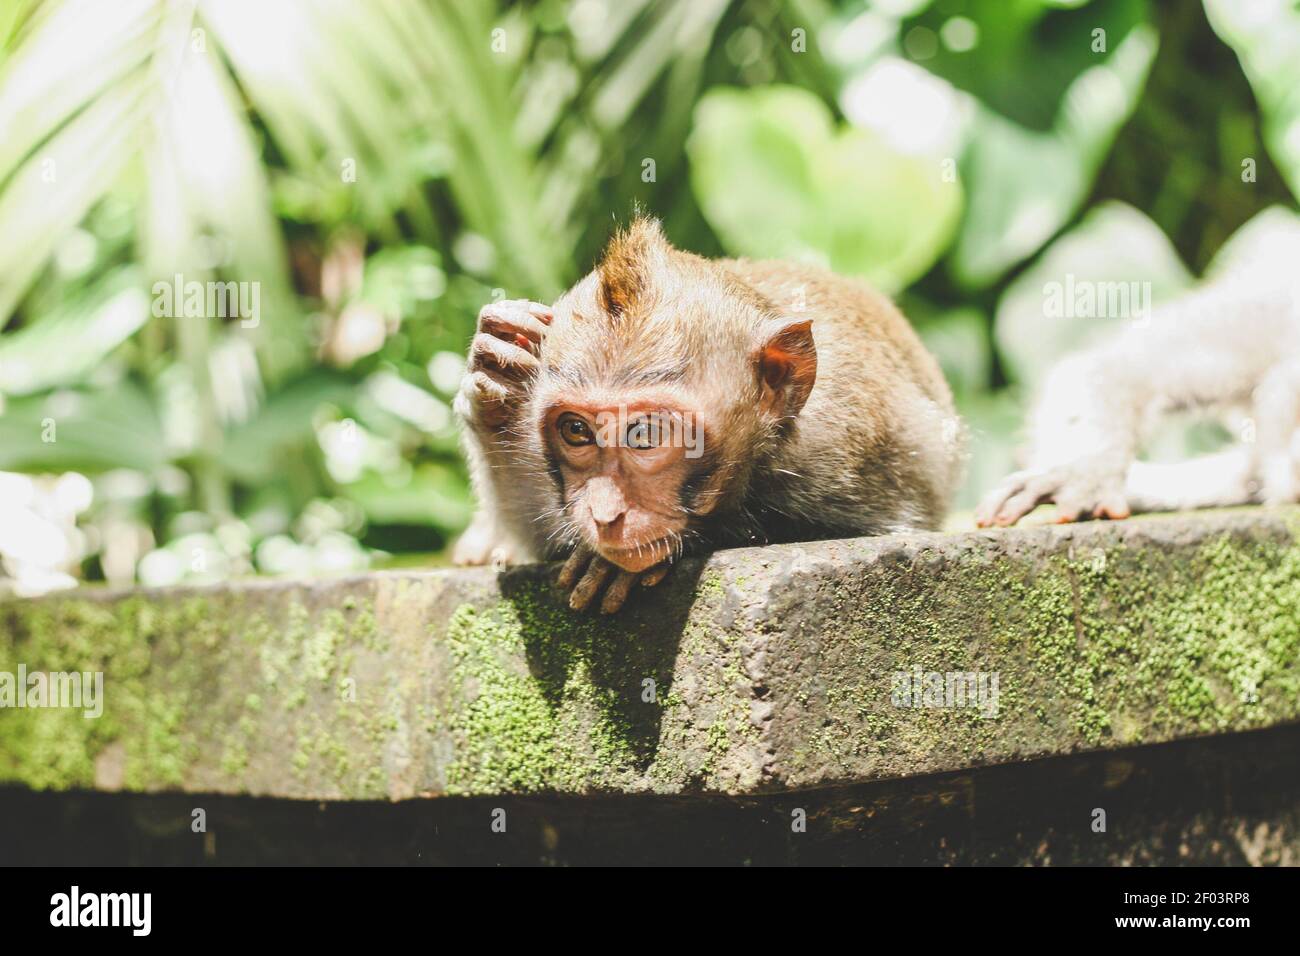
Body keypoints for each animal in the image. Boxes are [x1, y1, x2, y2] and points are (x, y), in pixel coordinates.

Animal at [453, 217, 963, 612]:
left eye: (645, 435)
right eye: (576, 430)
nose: (604, 513)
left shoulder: (851, 448)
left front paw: (615, 564)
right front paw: (496, 379)